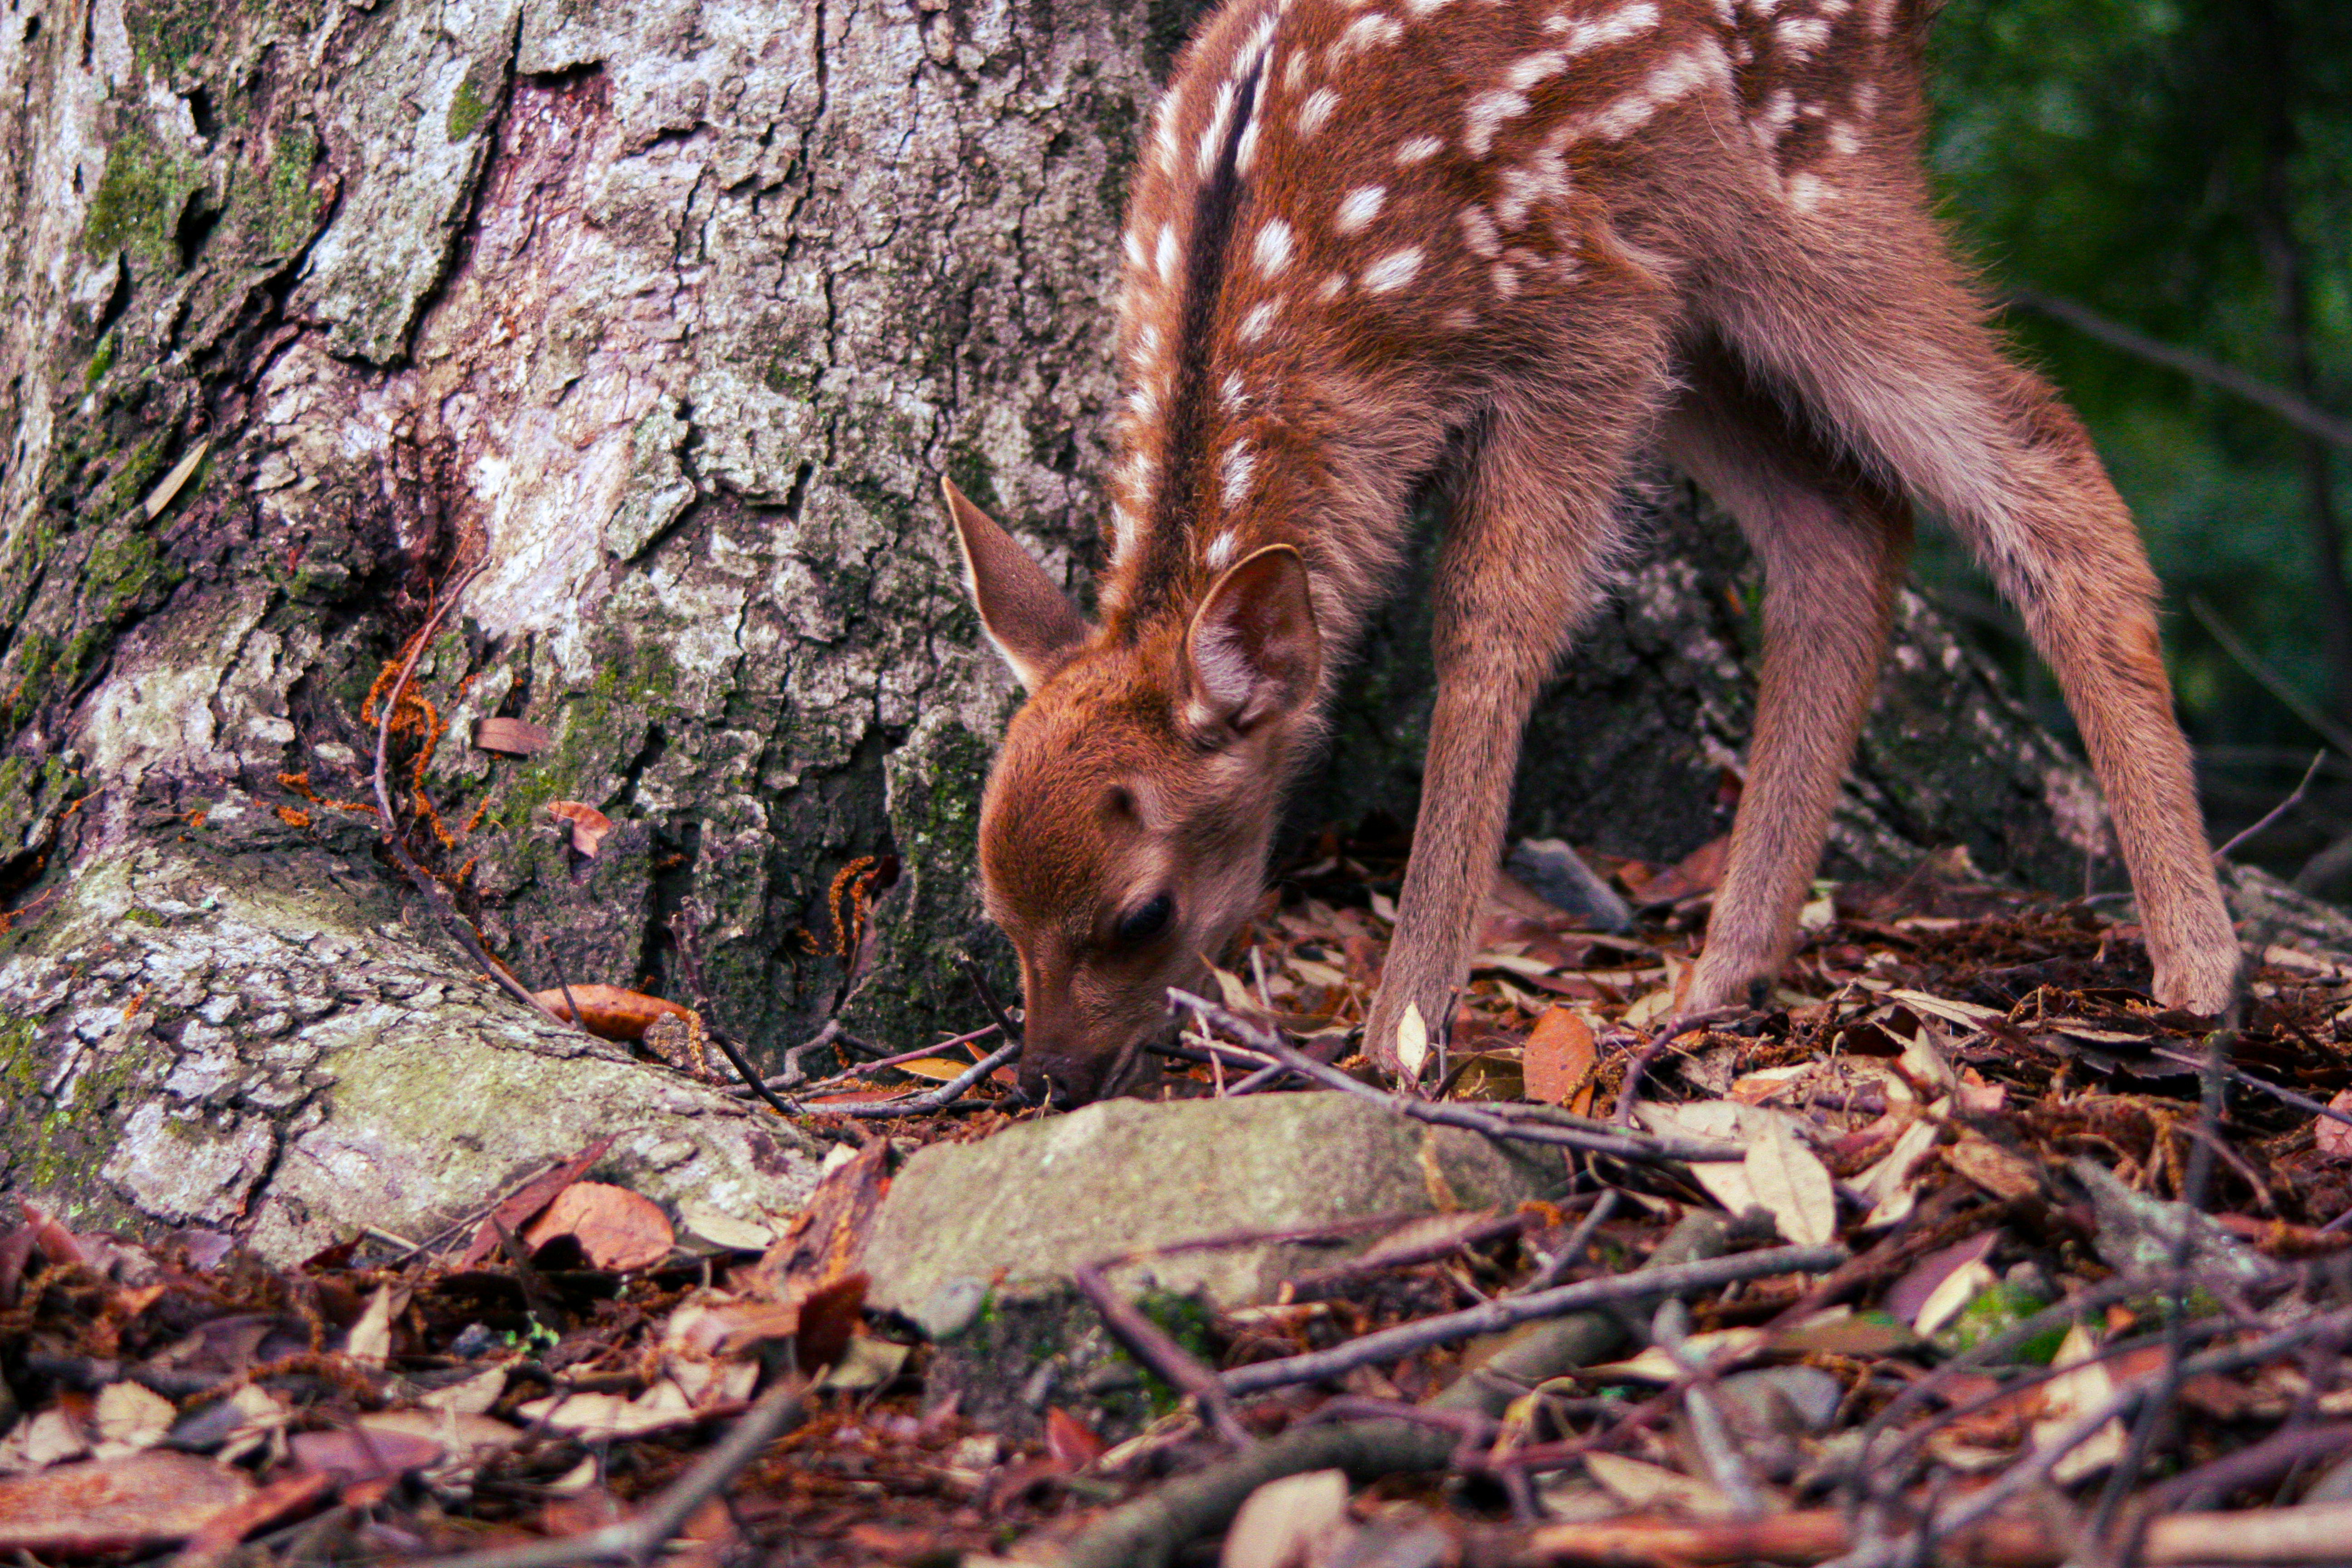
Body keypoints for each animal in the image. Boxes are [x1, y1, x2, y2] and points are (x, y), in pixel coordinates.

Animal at [939, 0, 2242, 1105]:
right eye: (995, 910)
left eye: (1141, 915)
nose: (1044, 1077)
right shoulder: (1617, 313)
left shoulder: (1578, 322)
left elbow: (1490, 626)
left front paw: (1402, 1034)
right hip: (1694, 289)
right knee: (1847, 523)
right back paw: (1723, 977)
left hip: (1804, 185)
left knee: (2037, 462)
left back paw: (2199, 968)